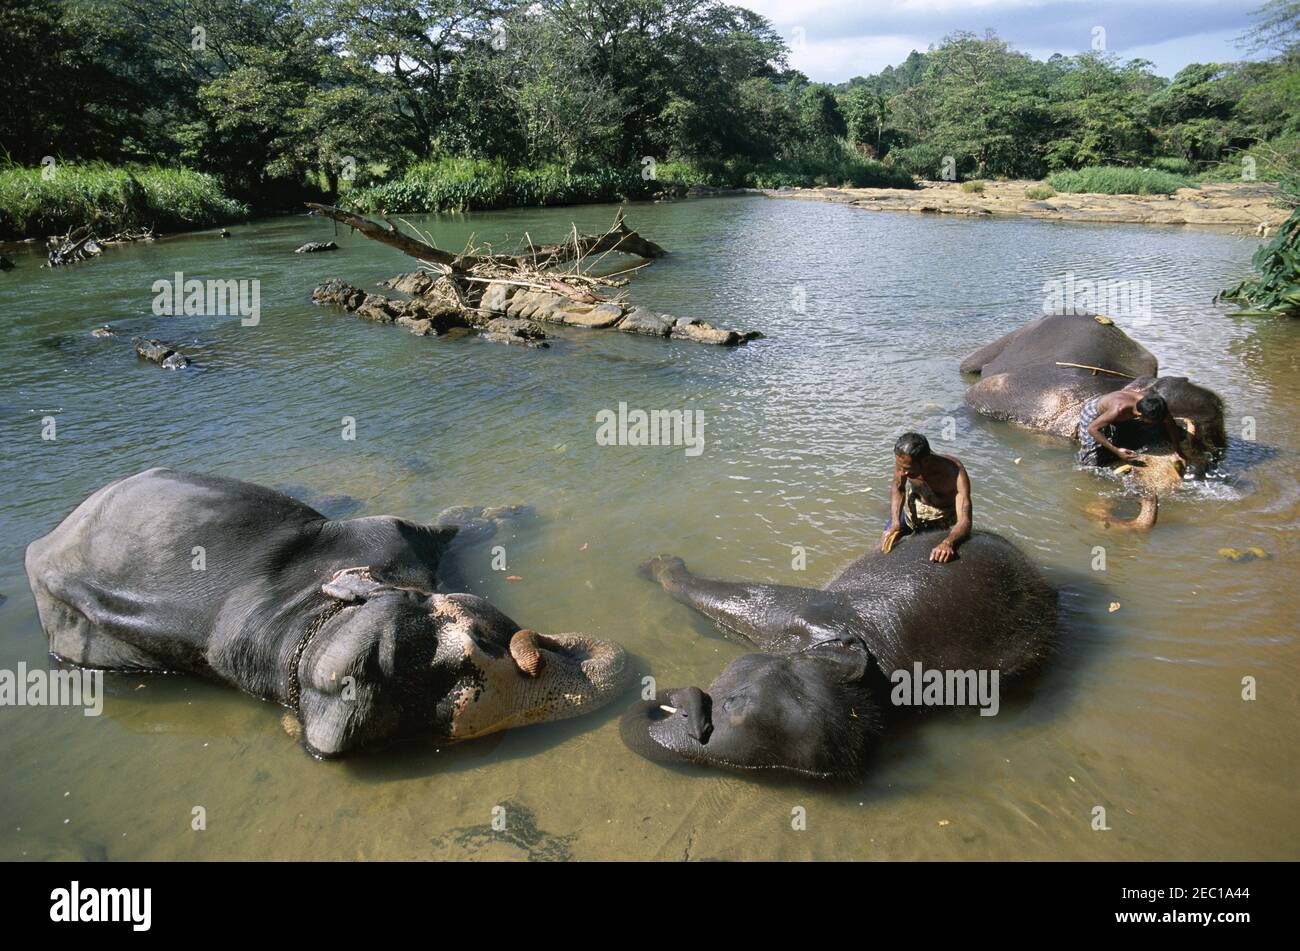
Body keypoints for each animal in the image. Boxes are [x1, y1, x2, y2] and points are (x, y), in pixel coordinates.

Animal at [24, 468, 629, 757]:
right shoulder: (379, 539)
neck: (294, 631)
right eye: (481, 645)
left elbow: (440, 529)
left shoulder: (380, 544)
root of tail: (39, 547)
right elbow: (427, 527)